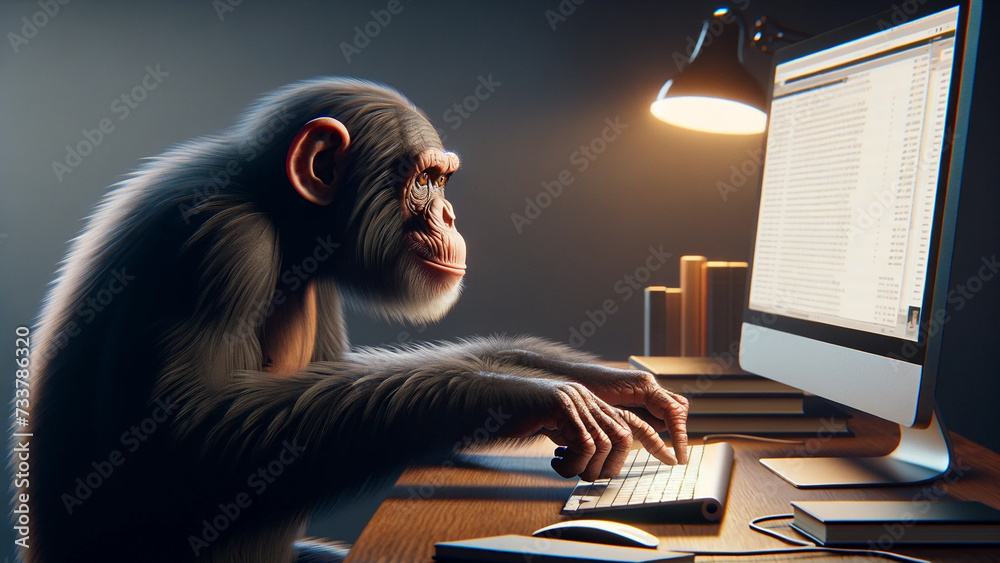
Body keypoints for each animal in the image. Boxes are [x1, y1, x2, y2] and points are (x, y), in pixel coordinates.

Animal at [20, 77, 689, 563]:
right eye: (426, 179)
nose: (449, 215)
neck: (278, 212)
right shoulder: (216, 244)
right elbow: (187, 430)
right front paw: (544, 395)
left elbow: (338, 379)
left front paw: (606, 382)